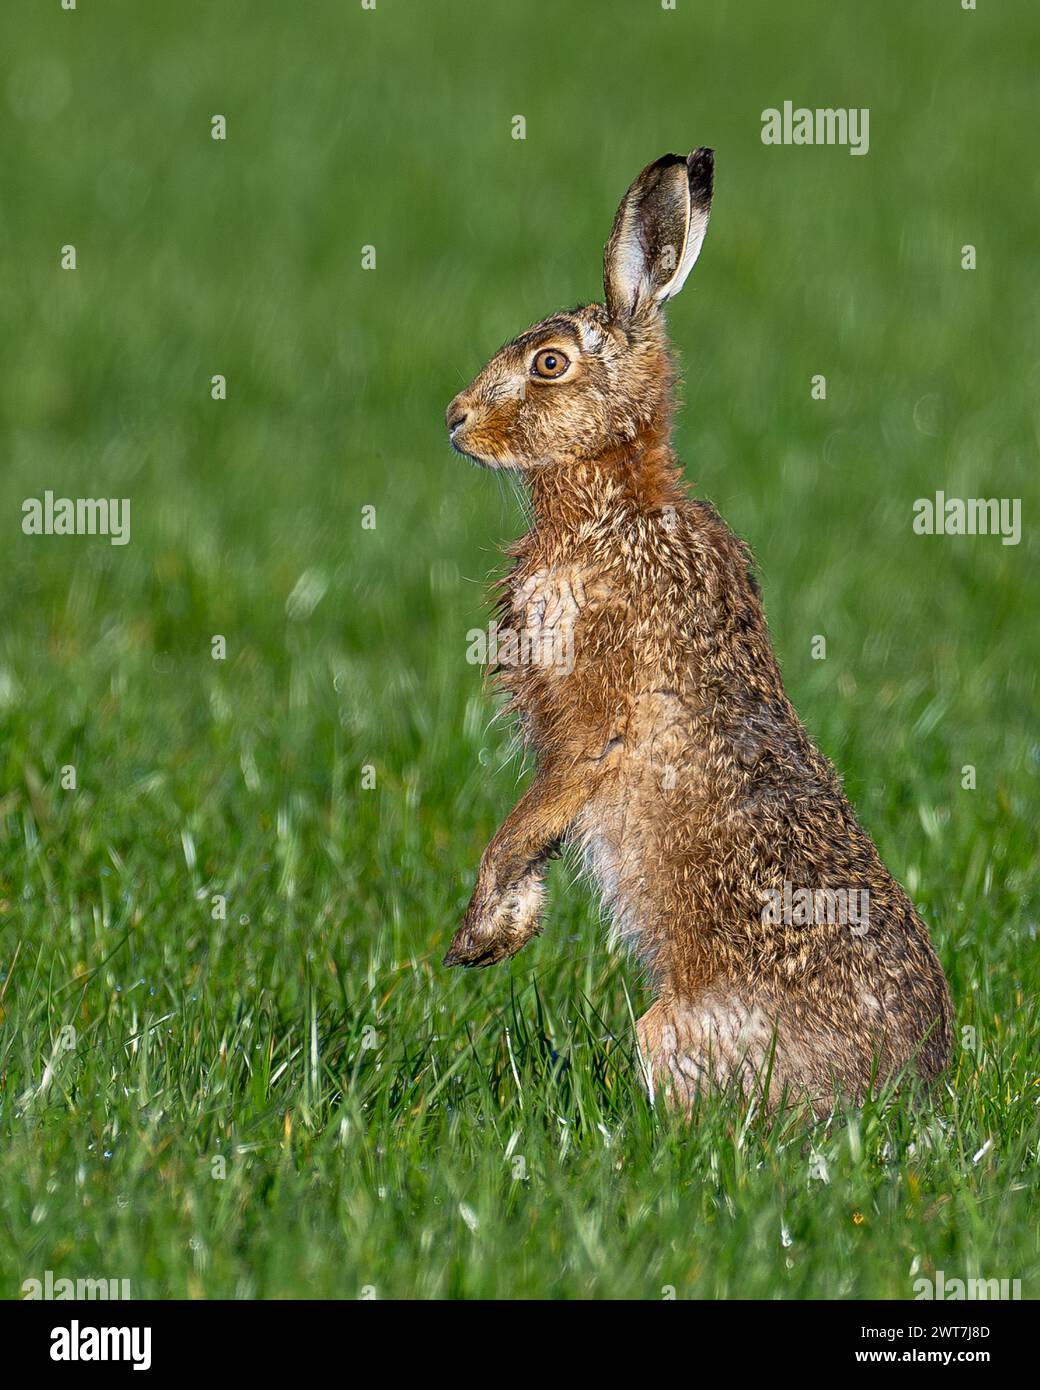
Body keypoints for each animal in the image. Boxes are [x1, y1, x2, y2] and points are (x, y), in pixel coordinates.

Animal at [442, 148, 952, 1116]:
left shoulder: (586, 719)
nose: (453, 420)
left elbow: (534, 816)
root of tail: (906, 1096)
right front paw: (505, 934)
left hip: (672, 1030)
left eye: (549, 364)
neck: (611, 508)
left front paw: (478, 931)